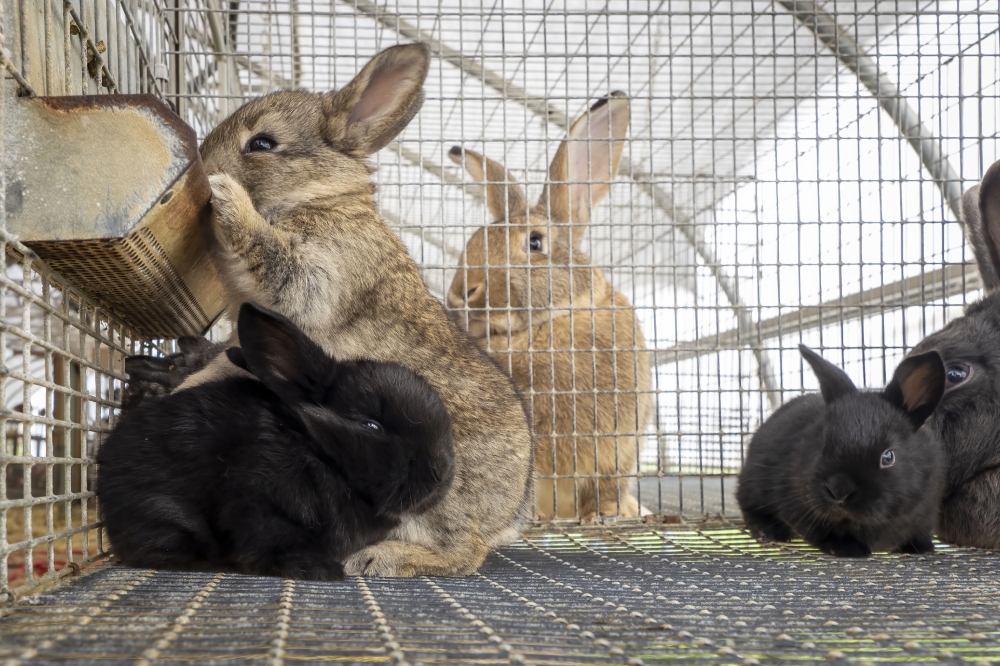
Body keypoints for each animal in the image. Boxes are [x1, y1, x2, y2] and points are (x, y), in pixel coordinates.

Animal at [172, 43, 534, 577]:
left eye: (262, 143)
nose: (202, 168)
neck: (321, 197)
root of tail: (508, 515)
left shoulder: (317, 274)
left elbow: (274, 260)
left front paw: (225, 195)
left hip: (429, 486)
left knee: (465, 553)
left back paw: (382, 558)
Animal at [445, 91, 652, 520]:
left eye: (535, 242)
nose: (460, 291)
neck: (548, 324)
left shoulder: (619, 448)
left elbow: (605, 484)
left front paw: (608, 512)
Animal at [737, 344, 946, 557]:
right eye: (823, 444)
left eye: (888, 457)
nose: (839, 491)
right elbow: (825, 533)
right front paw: (850, 548)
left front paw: (922, 548)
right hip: (753, 485)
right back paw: (771, 531)